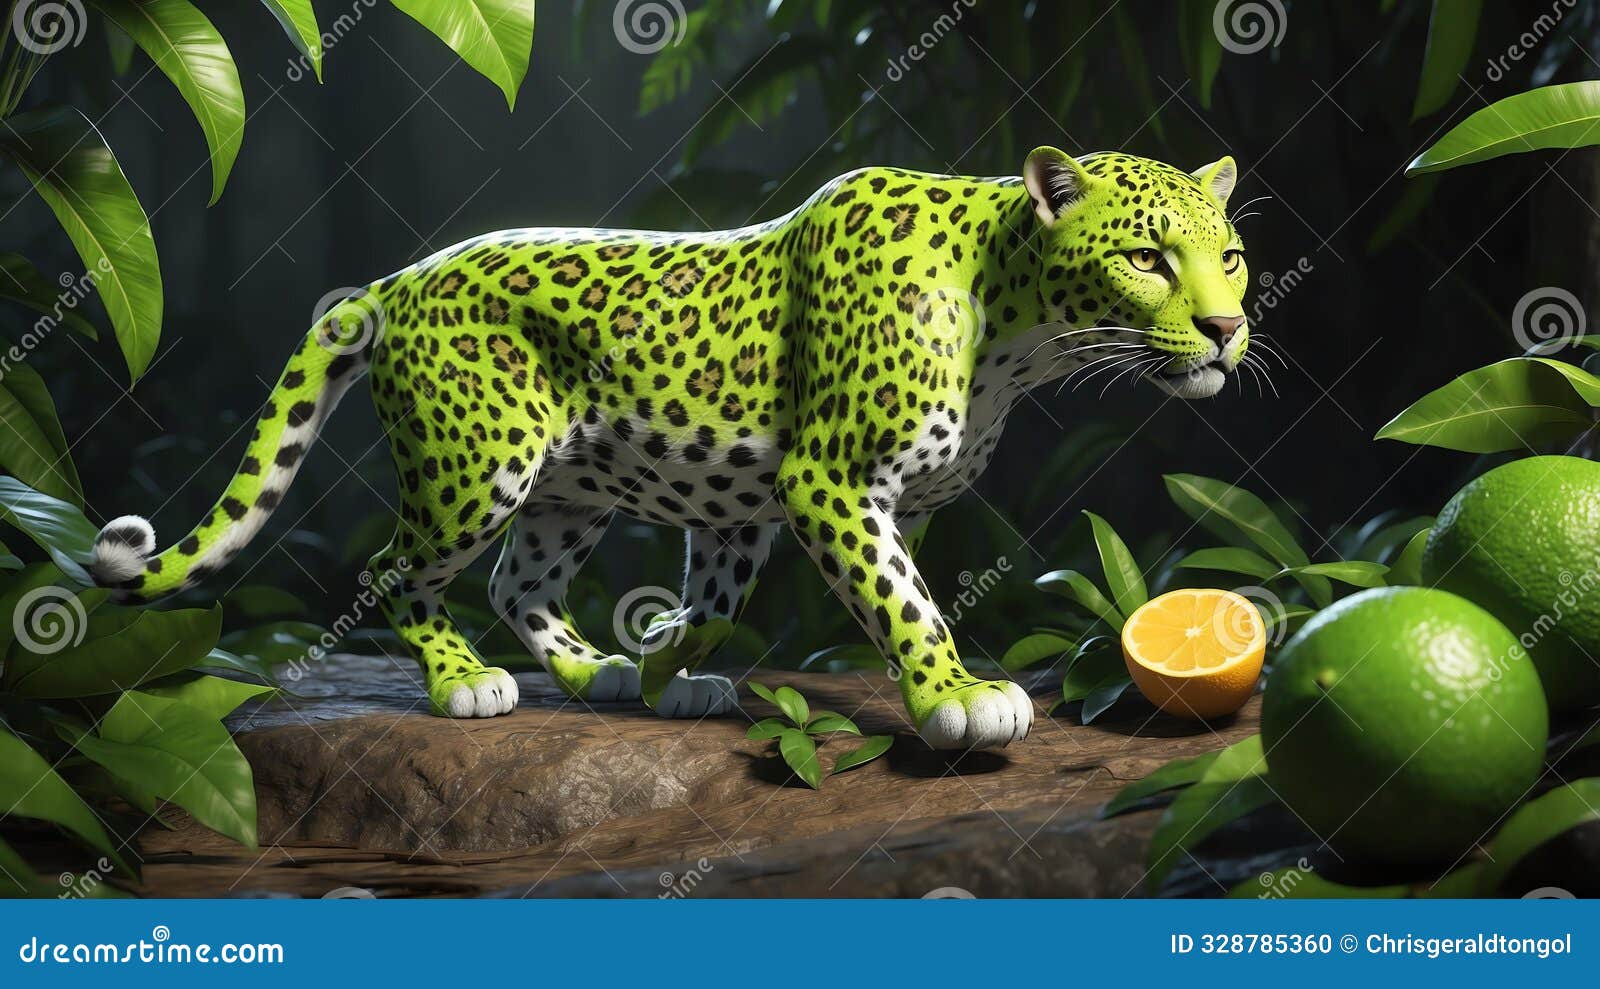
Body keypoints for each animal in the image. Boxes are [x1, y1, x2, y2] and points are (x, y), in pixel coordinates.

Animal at [88, 147, 1254, 751]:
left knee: (518, 582)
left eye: (1232, 256)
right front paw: (957, 697)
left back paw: (593, 670)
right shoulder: (832, 483)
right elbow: (904, 603)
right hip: (476, 468)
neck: (1017, 333)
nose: (1226, 327)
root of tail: (395, 278)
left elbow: (731, 599)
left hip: (570, 490)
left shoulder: (782, 503)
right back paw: (465, 681)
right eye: (1148, 258)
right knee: (397, 569)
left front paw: (661, 667)